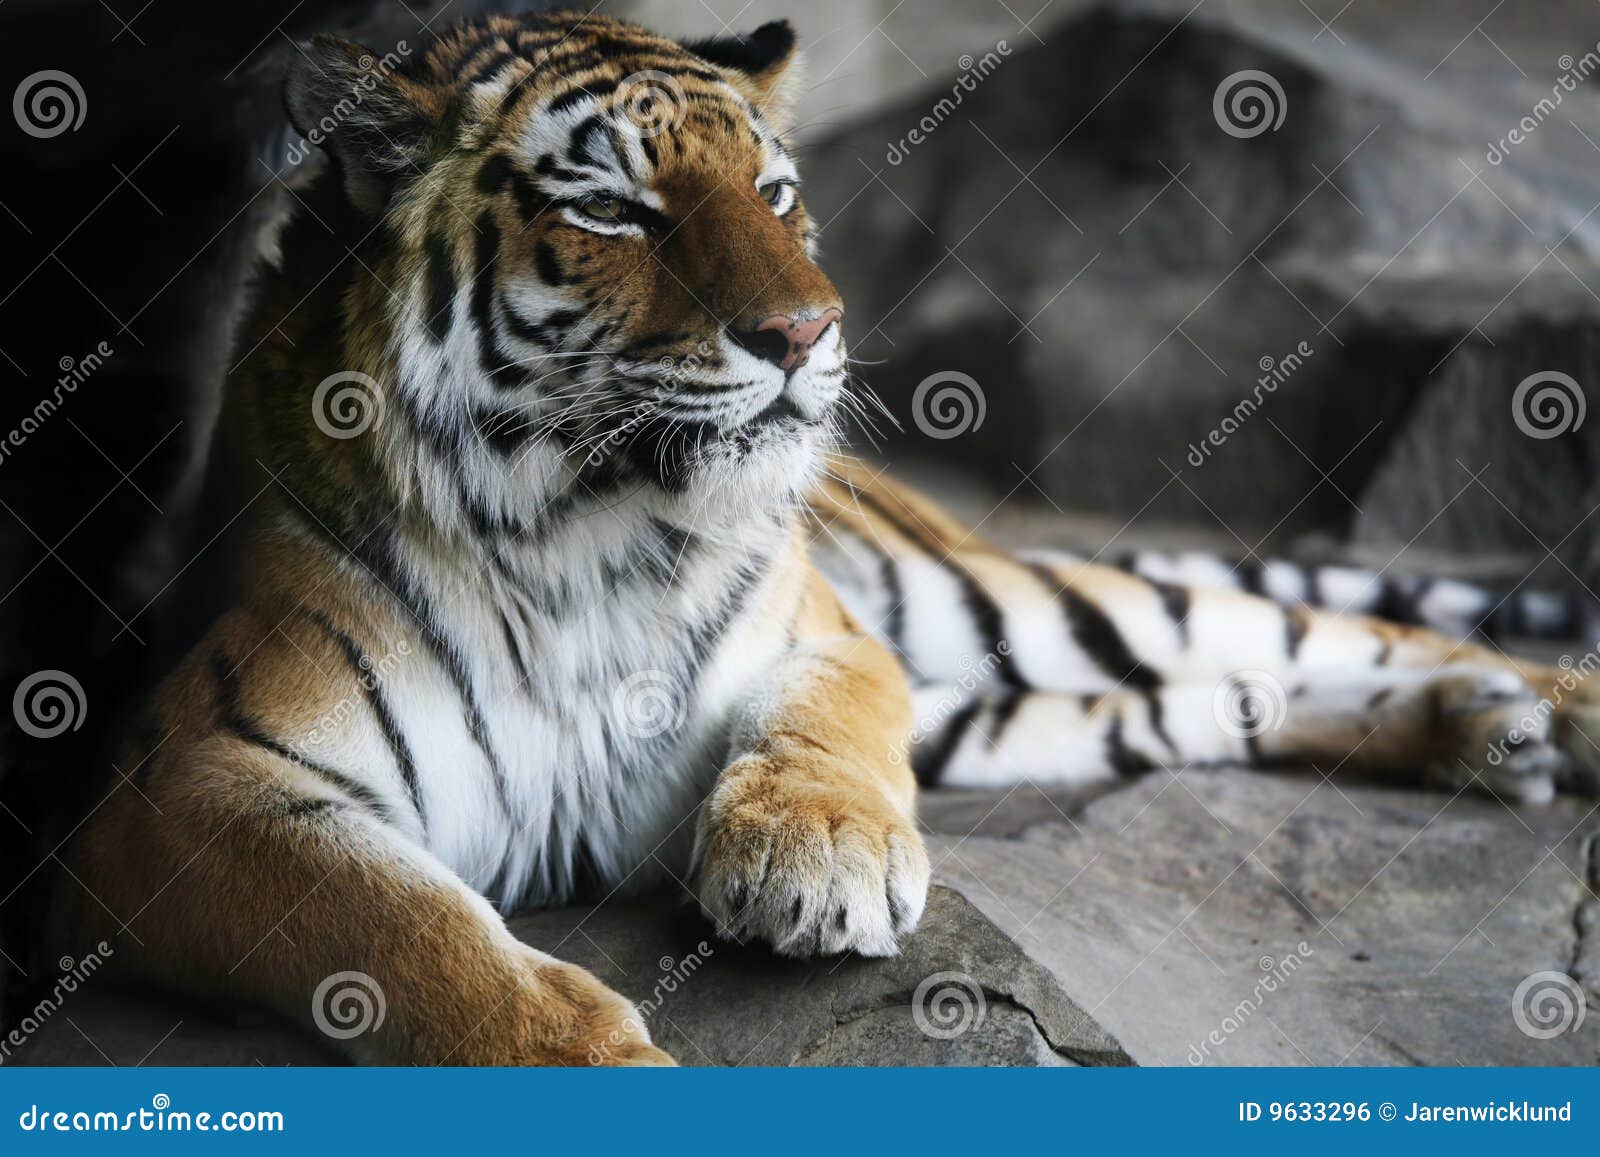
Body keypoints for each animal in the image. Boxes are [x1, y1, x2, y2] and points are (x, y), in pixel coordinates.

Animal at [38, 10, 1600, 1067]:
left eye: (776, 192)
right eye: (613, 210)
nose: (808, 332)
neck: (579, 533)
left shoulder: (825, 634)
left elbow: (827, 723)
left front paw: (819, 856)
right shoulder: (185, 788)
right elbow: (401, 924)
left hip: (993, 605)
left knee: (1299, 633)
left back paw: (1541, 713)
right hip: (1004, 702)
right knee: (1196, 702)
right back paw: (1484, 731)